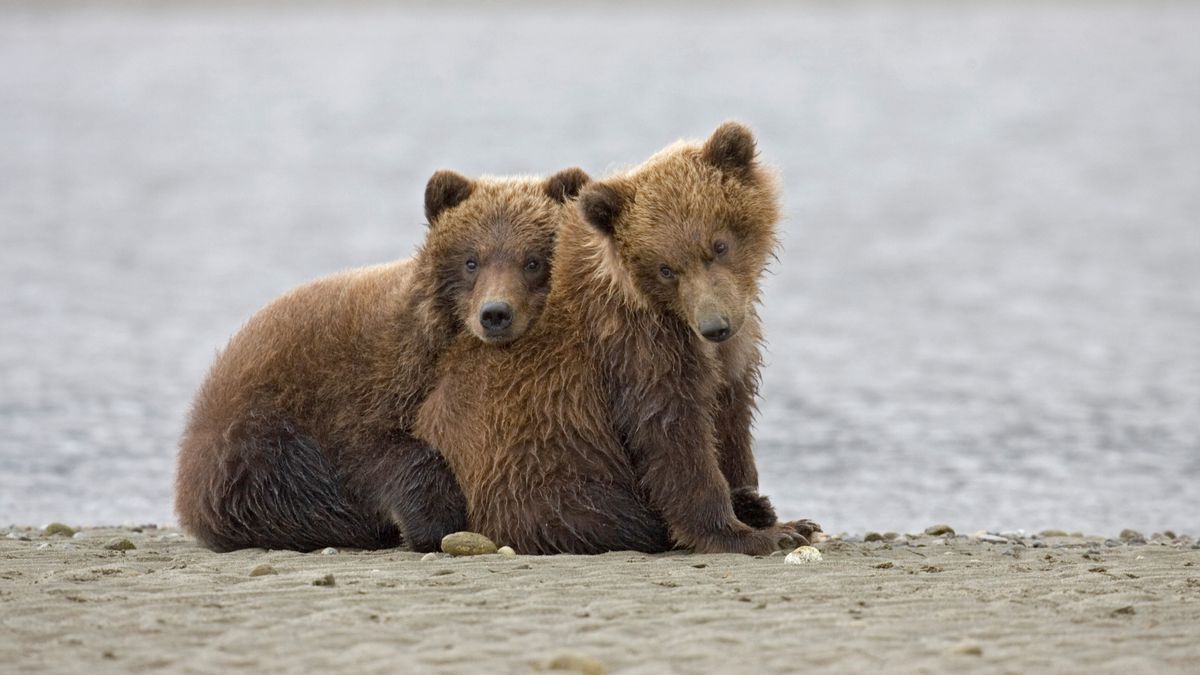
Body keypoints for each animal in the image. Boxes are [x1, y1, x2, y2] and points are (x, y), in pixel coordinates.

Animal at [174, 167, 590, 552]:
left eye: (533, 261)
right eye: (471, 261)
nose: (495, 313)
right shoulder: (363, 388)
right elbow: (380, 455)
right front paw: (434, 521)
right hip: (251, 440)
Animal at [415, 122, 820, 555]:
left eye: (719, 244)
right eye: (665, 269)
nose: (715, 325)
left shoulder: (733, 352)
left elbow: (730, 419)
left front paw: (763, 504)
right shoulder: (637, 347)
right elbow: (673, 437)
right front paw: (755, 532)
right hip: (535, 468)